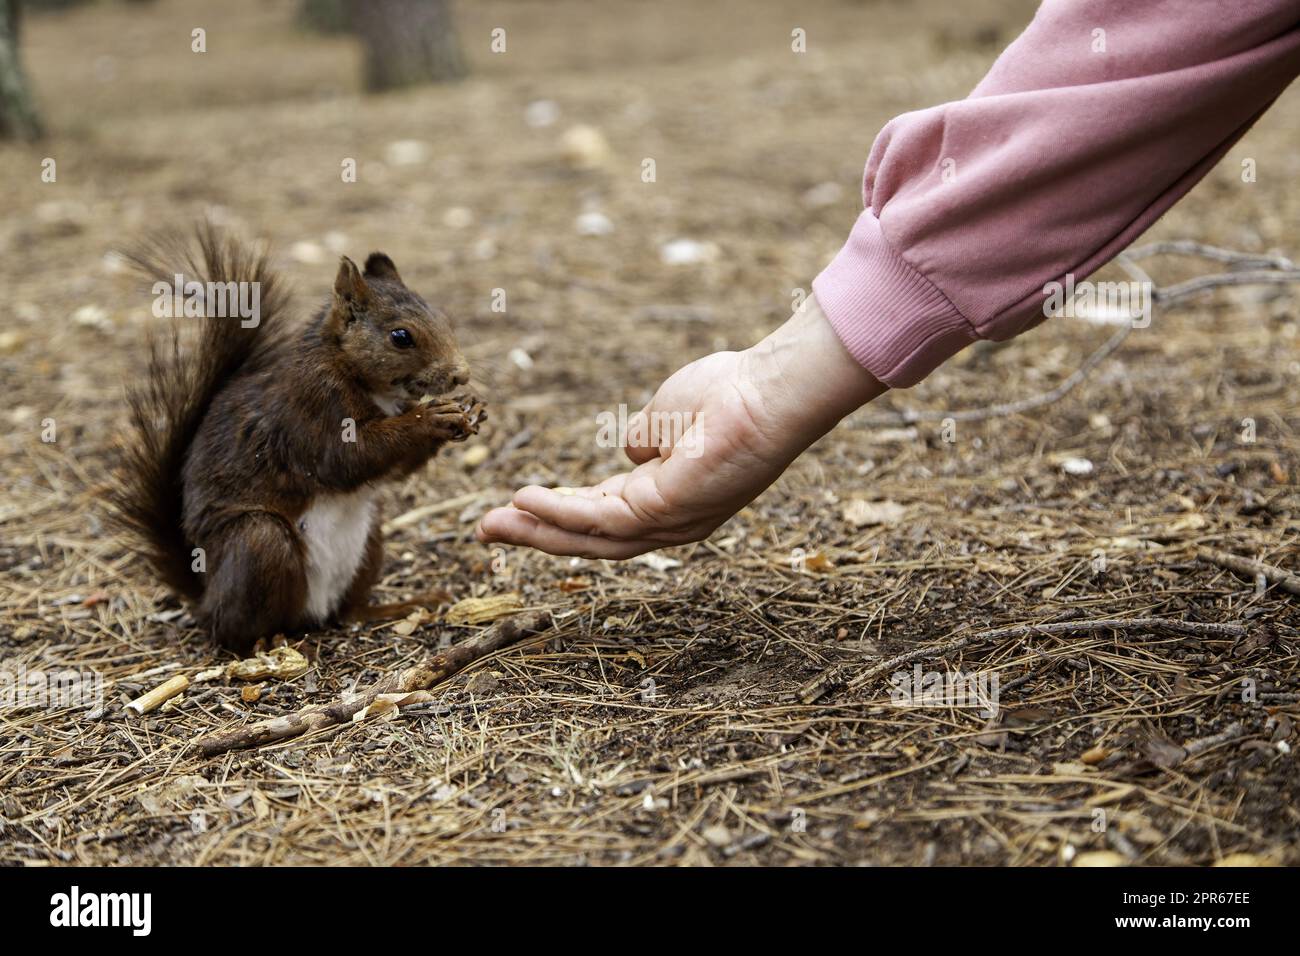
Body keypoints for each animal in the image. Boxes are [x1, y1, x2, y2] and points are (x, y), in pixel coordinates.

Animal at [110, 223, 486, 654]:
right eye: (401, 336)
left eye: (441, 316)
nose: (461, 375)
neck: (366, 380)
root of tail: (206, 595)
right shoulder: (311, 409)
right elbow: (347, 458)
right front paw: (431, 418)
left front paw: (469, 410)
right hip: (259, 543)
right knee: (230, 629)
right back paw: (265, 642)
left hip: (369, 538)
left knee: (348, 612)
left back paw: (399, 606)